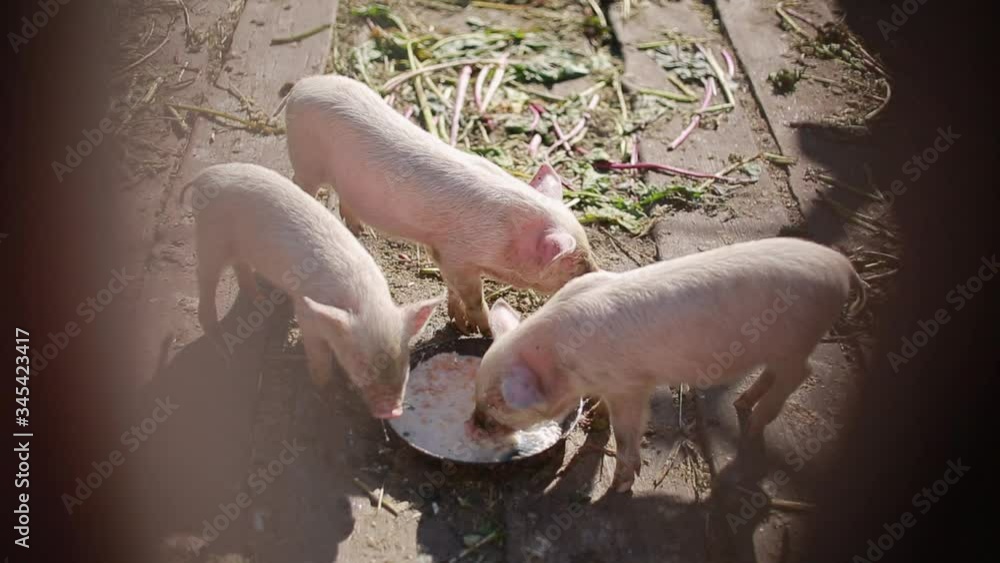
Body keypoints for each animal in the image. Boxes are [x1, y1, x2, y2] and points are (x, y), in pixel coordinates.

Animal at [183, 162, 442, 419]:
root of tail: (205, 175)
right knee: (206, 282)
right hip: (210, 240)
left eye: (404, 359)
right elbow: (318, 358)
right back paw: (223, 348)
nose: (393, 411)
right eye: (360, 361)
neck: (366, 300)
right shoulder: (307, 316)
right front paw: (327, 392)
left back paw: (260, 298)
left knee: (241, 265)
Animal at [284, 74, 598, 336]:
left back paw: (362, 232)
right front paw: (482, 331)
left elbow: (451, 286)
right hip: (305, 158)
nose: (598, 273)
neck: (506, 234)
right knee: (299, 183)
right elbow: (472, 296)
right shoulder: (458, 254)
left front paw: (458, 323)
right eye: (575, 260)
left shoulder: (442, 253)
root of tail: (301, 87)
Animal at [471, 237, 867, 492]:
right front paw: (593, 415)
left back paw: (753, 425)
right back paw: (742, 404)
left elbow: (628, 432)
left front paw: (619, 487)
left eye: (498, 404)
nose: (474, 425)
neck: (563, 358)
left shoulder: (630, 386)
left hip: (796, 341)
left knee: (802, 373)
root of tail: (844, 268)